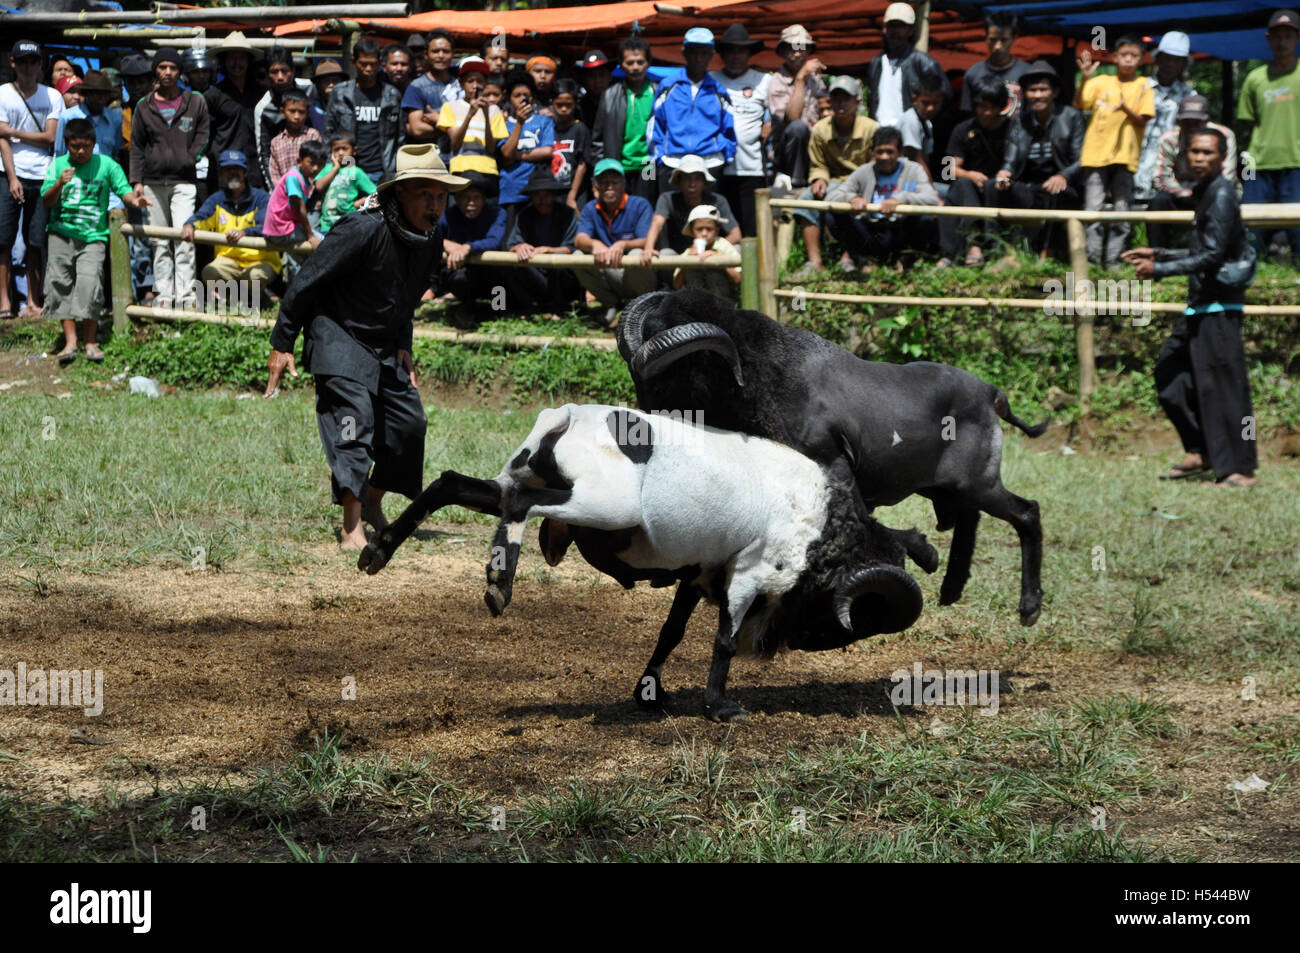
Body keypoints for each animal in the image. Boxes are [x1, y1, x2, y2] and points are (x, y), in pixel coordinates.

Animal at [358, 403, 934, 722]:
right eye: (865, 612)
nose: (815, 643)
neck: (824, 522)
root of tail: (570, 417)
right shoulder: (749, 572)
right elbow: (724, 640)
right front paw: (719, 707)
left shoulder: (698, 574)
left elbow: (670, 632)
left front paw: (650, 694)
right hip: (606, 505)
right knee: (519, 505)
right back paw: (500, 581)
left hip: (529, 478)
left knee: (453, 484)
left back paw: (379, 549)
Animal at [616, 289, 1048, 625]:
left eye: (665, 377)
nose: (641, 423)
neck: (764, 376)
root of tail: (992, 393)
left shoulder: (833, 463)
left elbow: (859, 517)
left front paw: (918, 554)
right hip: (951, 487)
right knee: (970, 518)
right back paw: (952, 588)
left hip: (980, 481)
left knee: (1027, 512)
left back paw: (1028, 607)